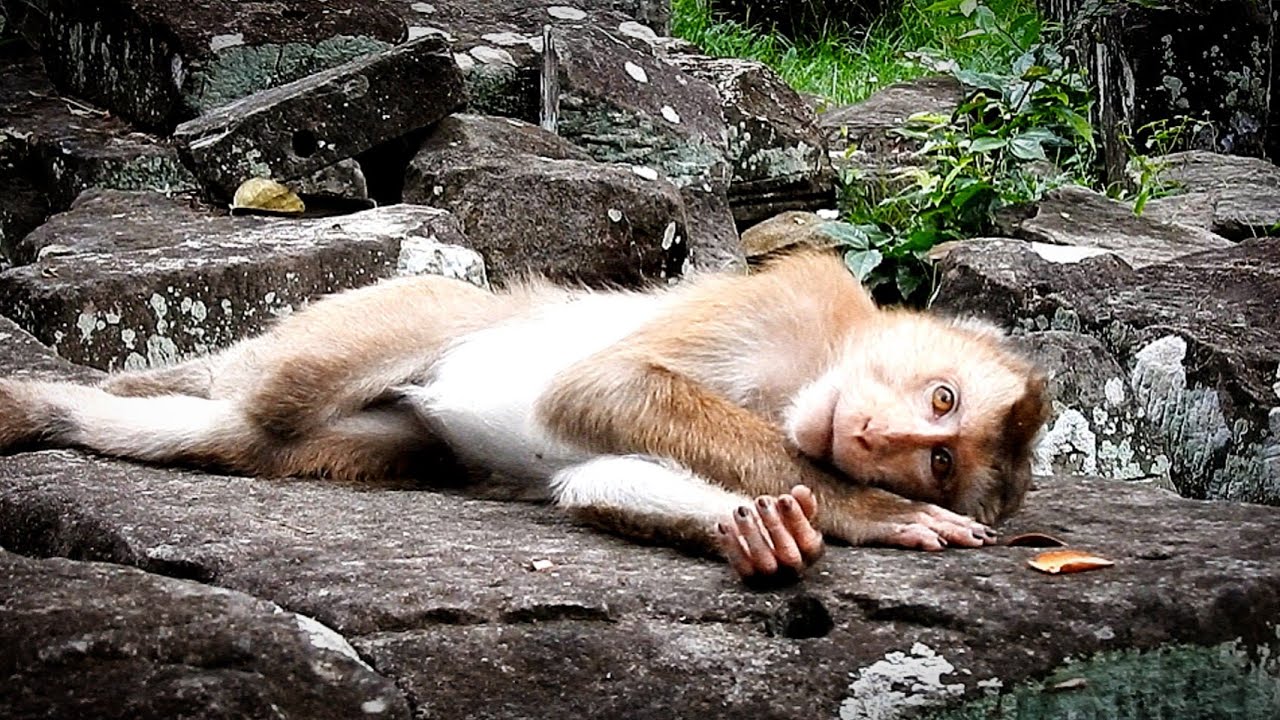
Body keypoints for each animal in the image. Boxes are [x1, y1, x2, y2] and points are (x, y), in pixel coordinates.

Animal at [0, 250, 1049, 583]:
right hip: (423, 303)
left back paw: (60, 413)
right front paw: (870, 511)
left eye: (942, 458)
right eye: (943, 402)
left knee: (247, 435)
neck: (805, 383)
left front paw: (755, 529)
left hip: (400, 435)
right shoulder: (794, 295)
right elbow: (607, 389)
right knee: (266, 392)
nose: (879, 442)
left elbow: (592, 474)